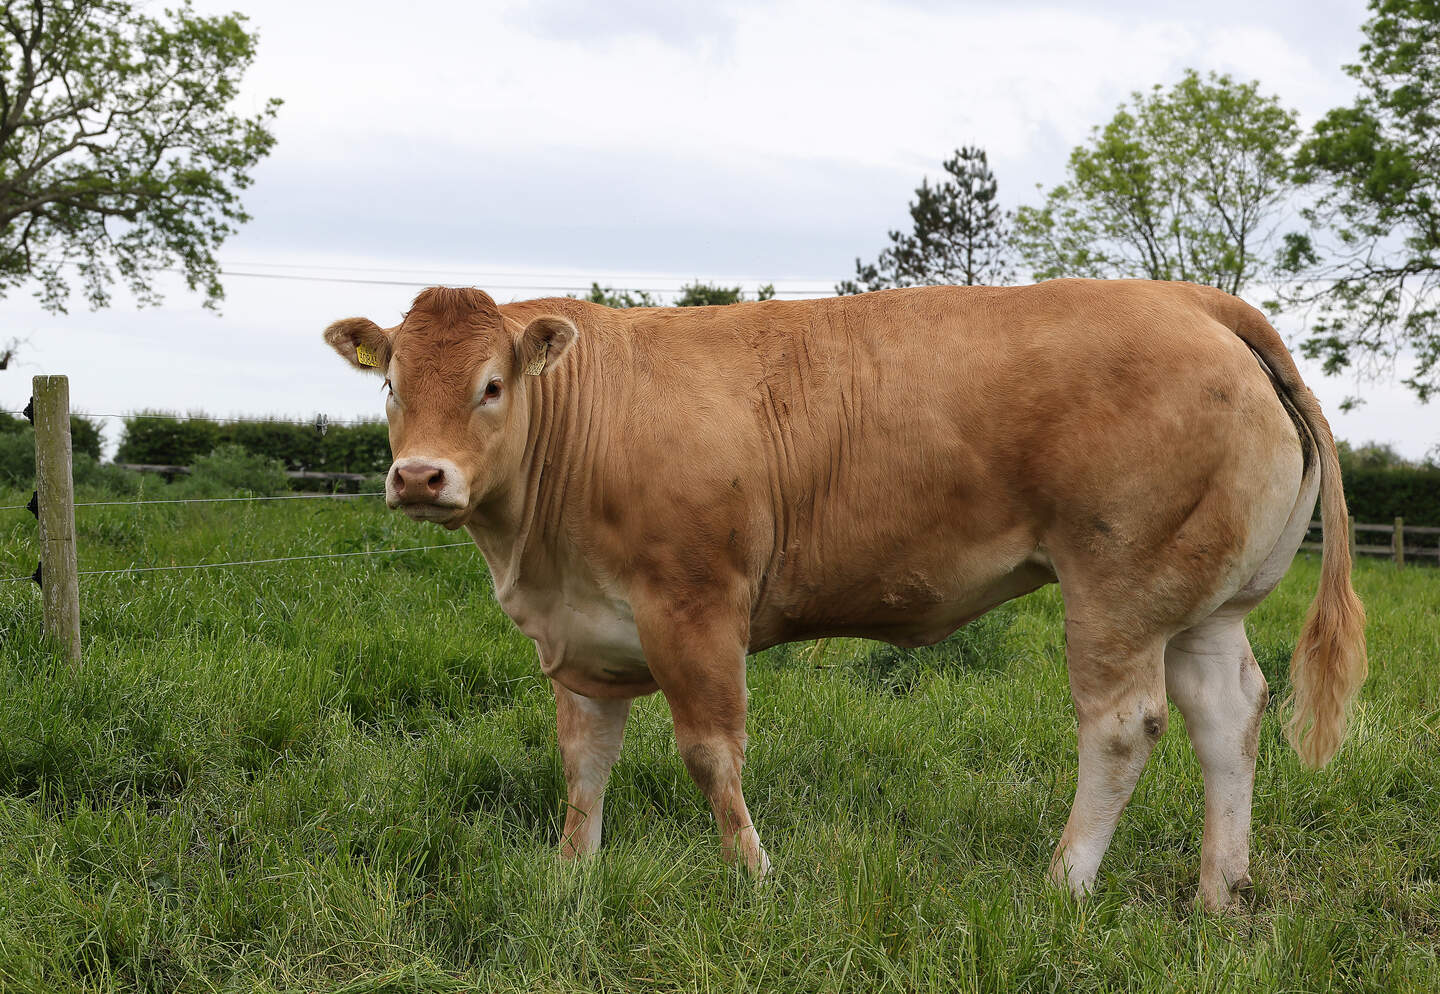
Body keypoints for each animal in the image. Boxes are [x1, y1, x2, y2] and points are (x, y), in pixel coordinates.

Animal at [323, 279, 1366, 909]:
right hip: (1207, 602)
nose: (419, 477)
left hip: (1119, 585)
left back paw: (1063, 884)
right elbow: (585, 763)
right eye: (392, 387)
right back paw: (1219, 892)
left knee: (1121, 725)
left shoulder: (694, 608)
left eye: (492, 386)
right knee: (1226, 714)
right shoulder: (586, 636)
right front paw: (572, 878)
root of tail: (1192, 299)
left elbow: (711, 754)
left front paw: (753, 878)